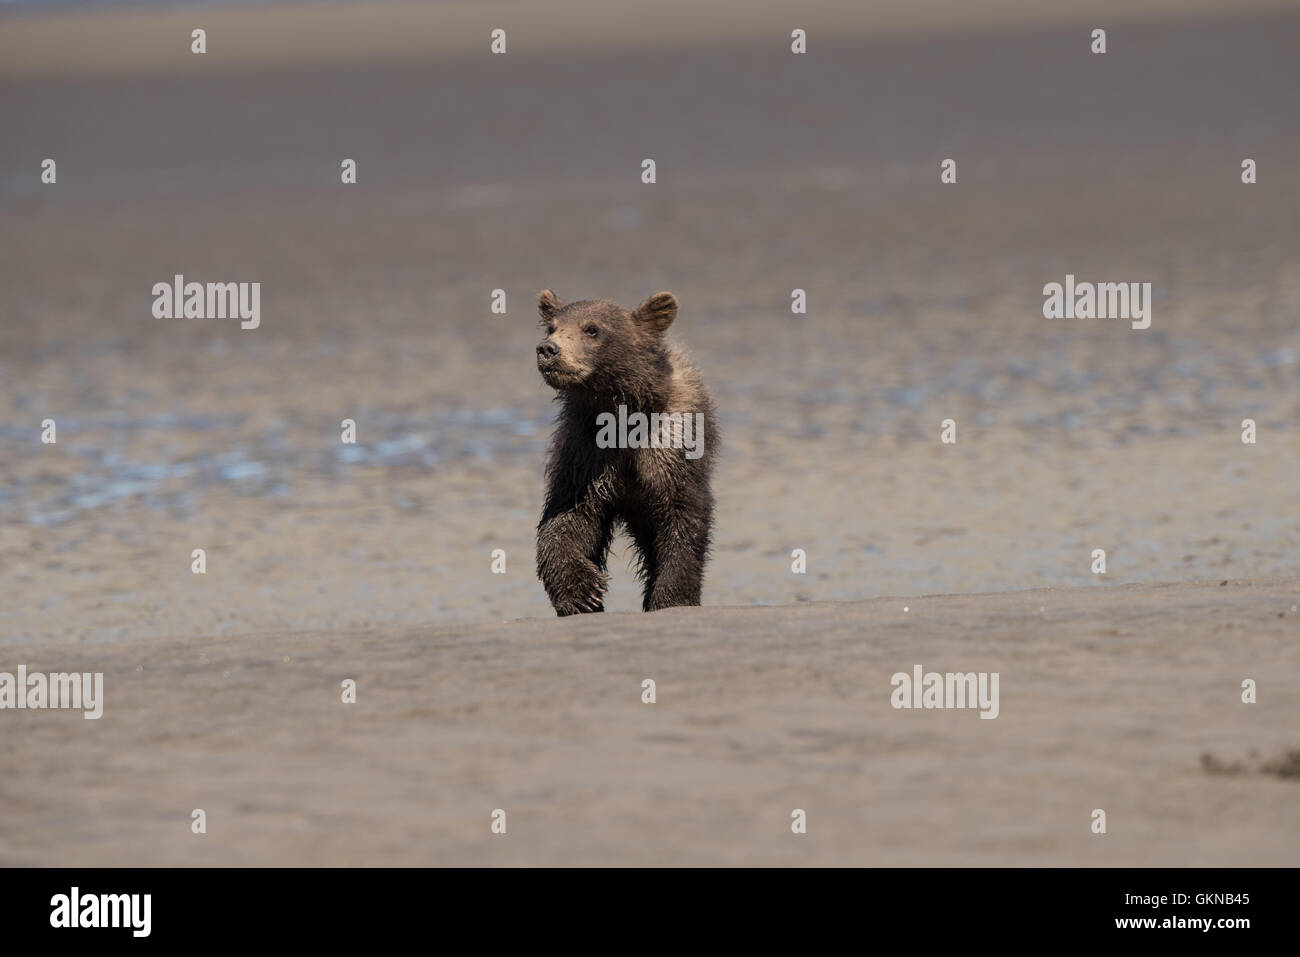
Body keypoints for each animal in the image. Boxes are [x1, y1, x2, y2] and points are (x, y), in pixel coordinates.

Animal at [535, 289, 717, 615]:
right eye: (551, 327)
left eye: (592, 329)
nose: (548, 349)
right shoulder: (585, 453)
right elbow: (567, 518)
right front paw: (583, 593)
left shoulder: (669, 447)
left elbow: (683, 516)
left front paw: (672, 598)